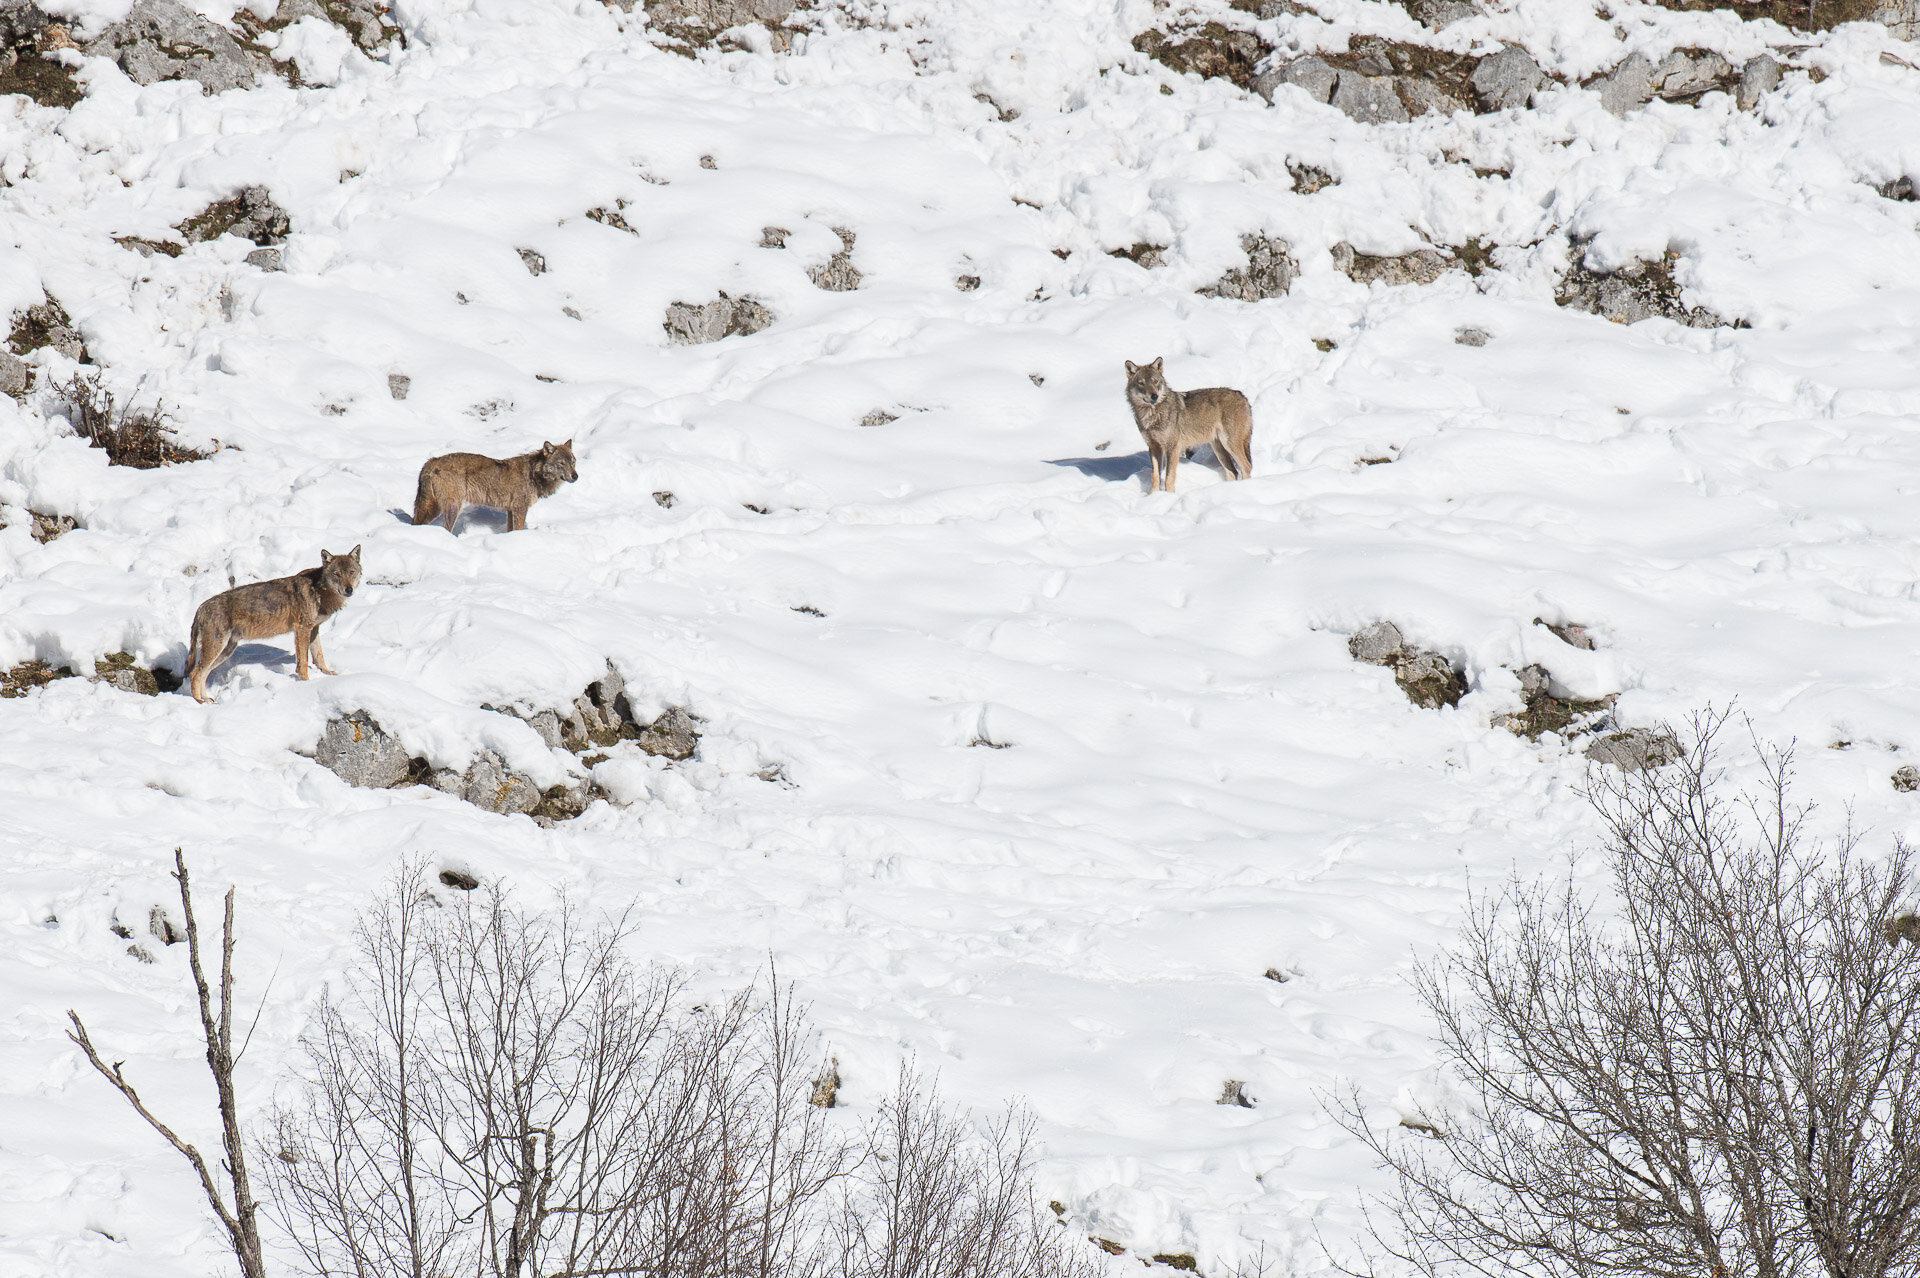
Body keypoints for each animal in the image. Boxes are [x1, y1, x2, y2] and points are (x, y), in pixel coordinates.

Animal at [186, 546, 362, 703]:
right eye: (337, 574)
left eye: (351, 572)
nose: (348, 589)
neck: (319, 589)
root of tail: (200, 608)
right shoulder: (302, 628)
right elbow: (303, 662)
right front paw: (306, 683)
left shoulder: (313, 629)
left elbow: (319, 656)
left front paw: (327, 674)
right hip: (217, 648)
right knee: (195, 672)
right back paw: (198, 701)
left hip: (226, 650)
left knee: (204, 673)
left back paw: (207, 699)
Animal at [412, 440, 578, 532]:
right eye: (561, 464)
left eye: (573, 462)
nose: (575, 476)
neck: (533, 474)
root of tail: (432, 461)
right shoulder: (520, 508)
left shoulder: (511, 510)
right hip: (452, 507)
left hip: (433, 508)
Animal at [1123, 358, 1254, 493]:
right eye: (1141, 383)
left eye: (1155, 381)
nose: (1154, 396)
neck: (1151, 414)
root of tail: (1242, 396)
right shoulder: (1154, 447)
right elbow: (1155, 476)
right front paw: (1152, 495)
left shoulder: (1172, 447)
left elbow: (1169, 476)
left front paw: (1169, 494)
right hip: (1219, 448)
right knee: (1232, 471)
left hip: (1229, 443)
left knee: (1246, 466)